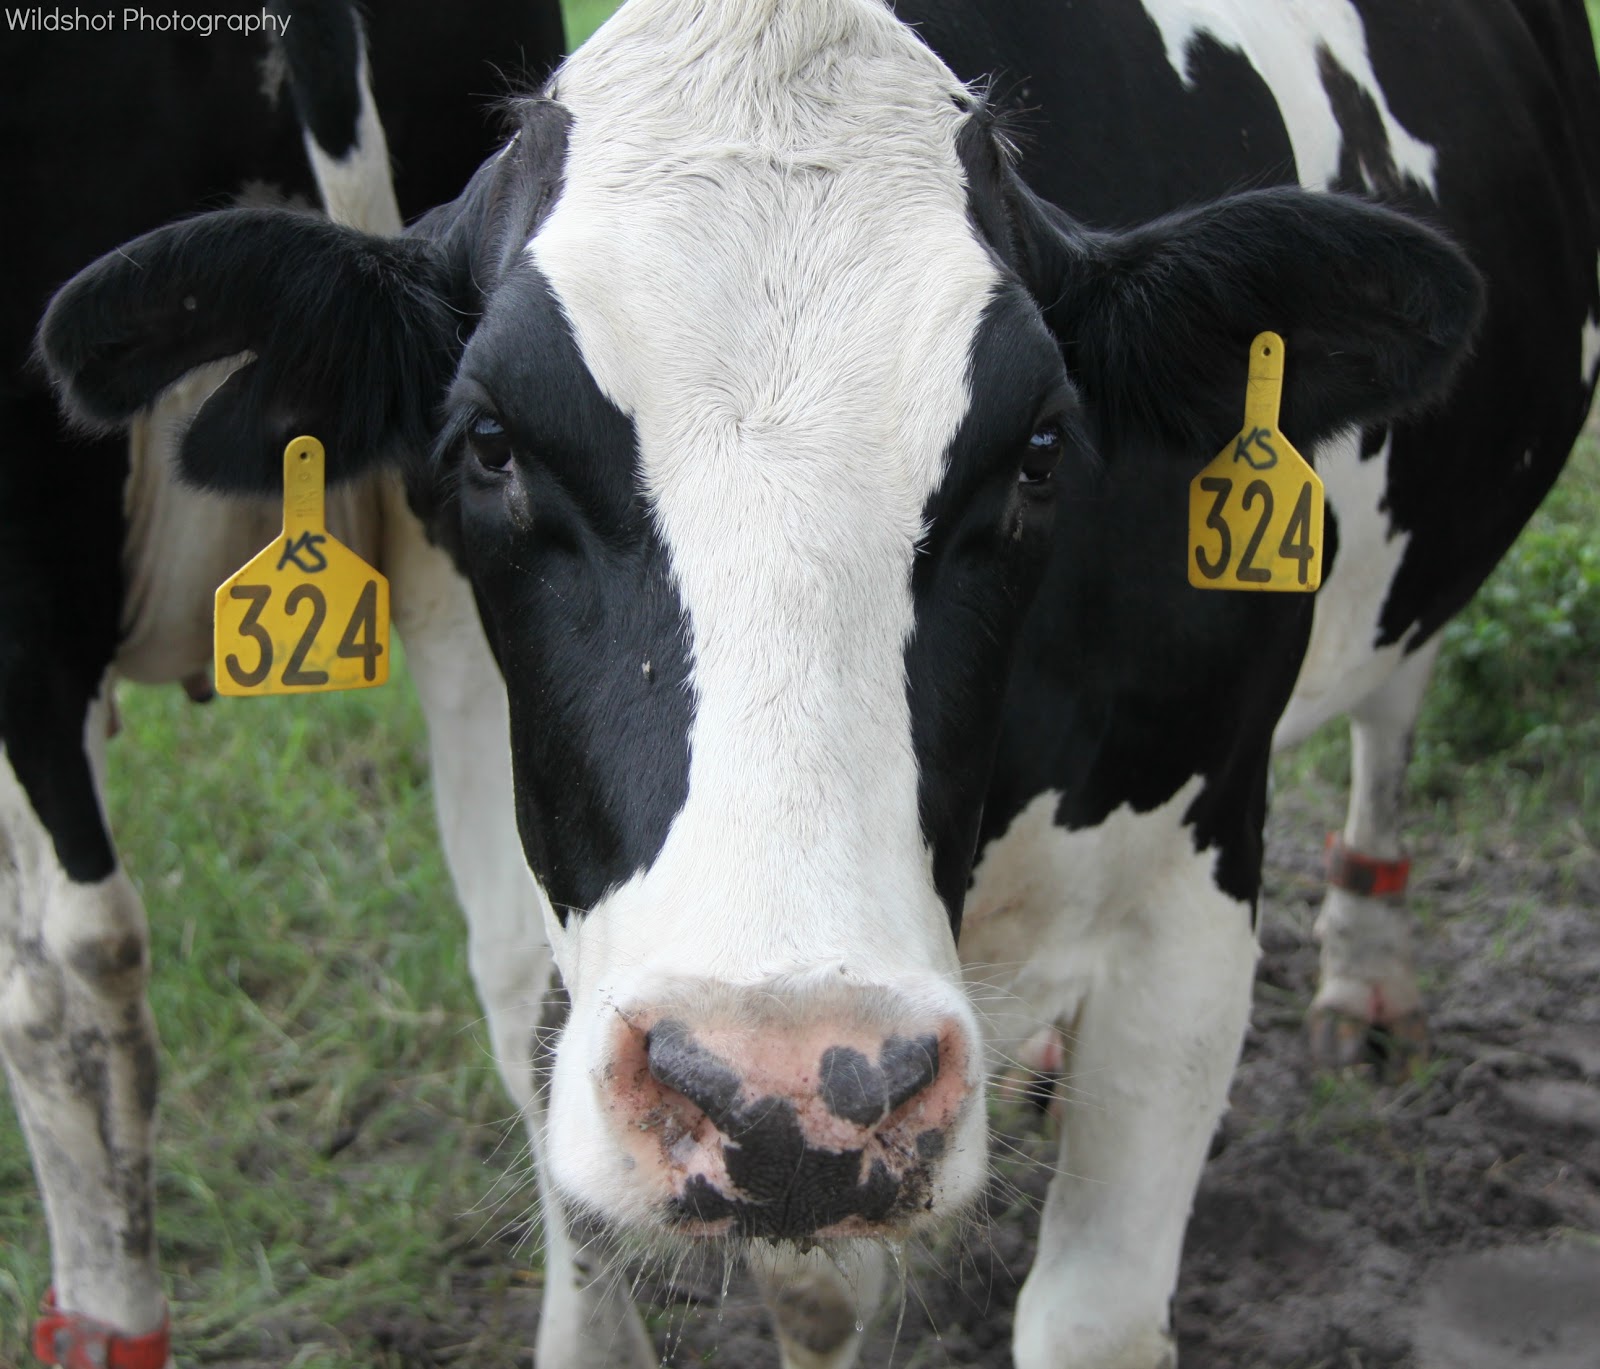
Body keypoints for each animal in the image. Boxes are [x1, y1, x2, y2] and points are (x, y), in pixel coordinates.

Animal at [13, 2, 1598, 1369]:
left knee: (1397, 700)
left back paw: (1368, 968)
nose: (779, 1086)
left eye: (1040, 448)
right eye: (487, 442)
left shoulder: (1191, 889)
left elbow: (1086, 1314)